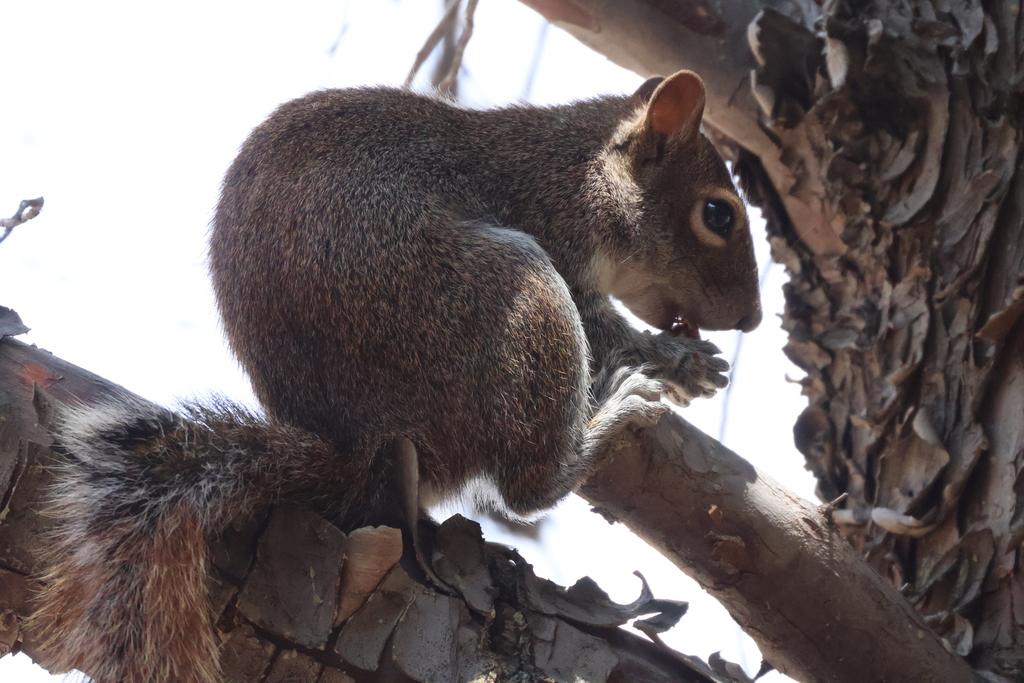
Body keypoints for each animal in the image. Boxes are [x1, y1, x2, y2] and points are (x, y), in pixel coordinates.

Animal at [32, 70, 761, 683]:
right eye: (718, 214)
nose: (752, 317)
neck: (577, 165)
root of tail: (359, 447)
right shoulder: (555, 227)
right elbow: (603, 330)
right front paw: (676, 360)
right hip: (505, 294)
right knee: (526, 487)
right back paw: (606, 425)